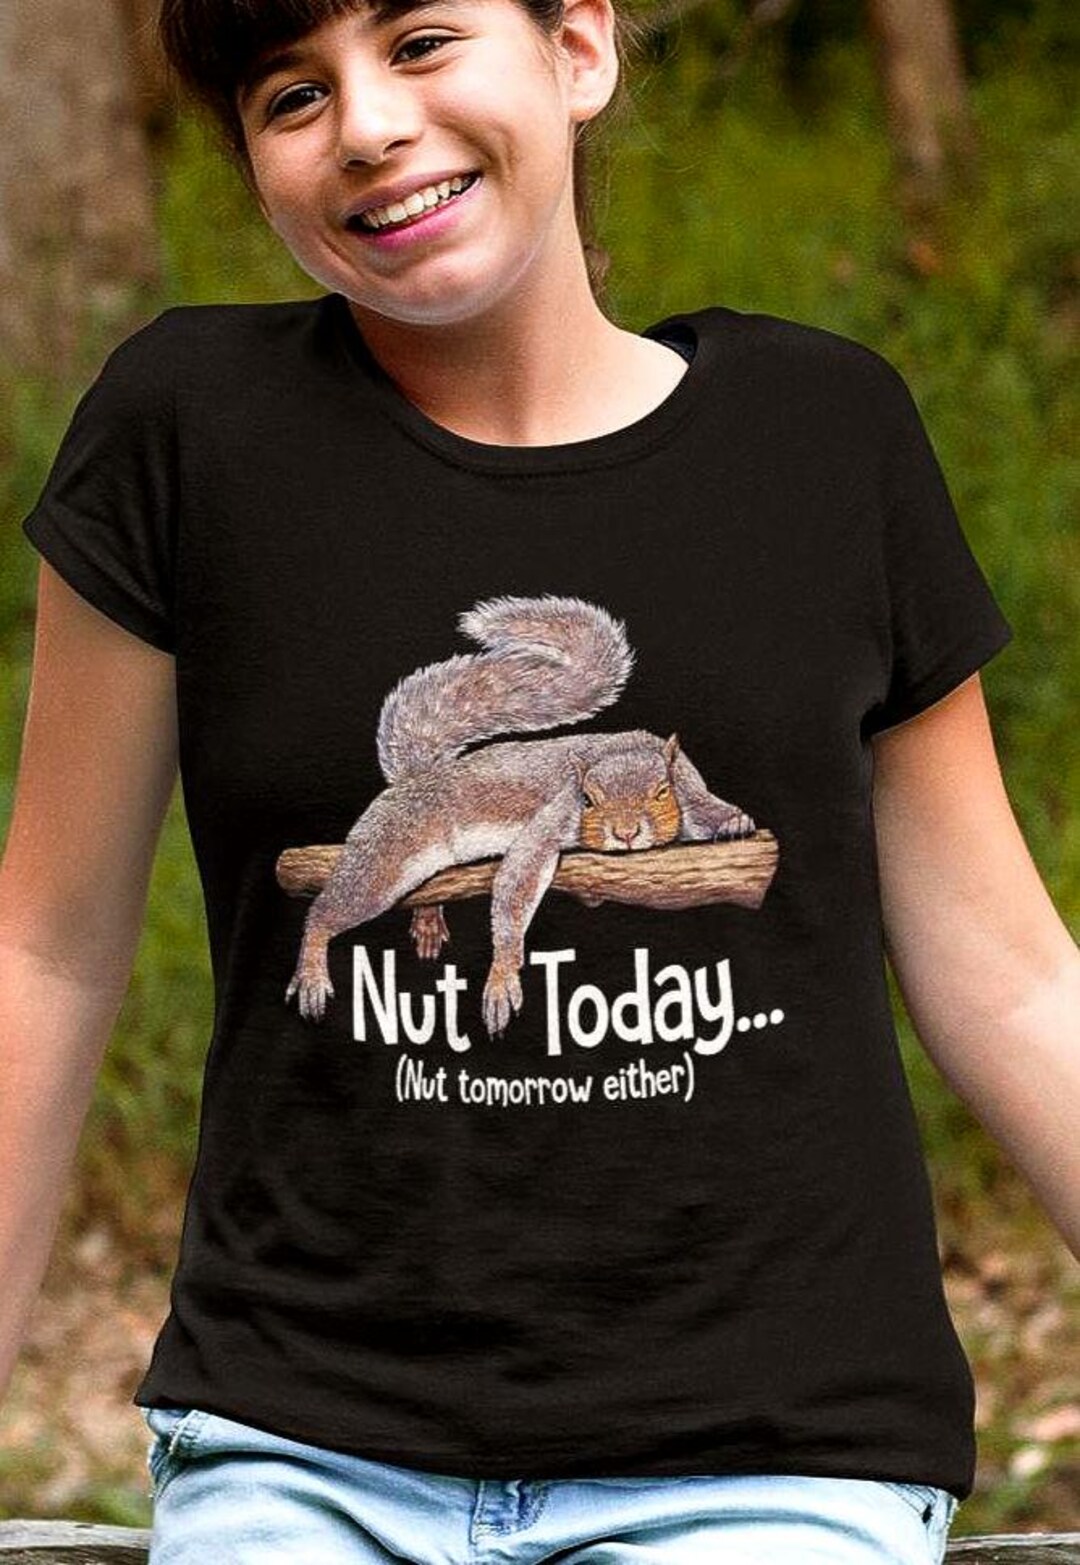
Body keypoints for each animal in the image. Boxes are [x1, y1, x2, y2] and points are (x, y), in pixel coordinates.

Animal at [285, 595, 756, 1036]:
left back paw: (428, 919)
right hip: (387, 852)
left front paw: (734, 822)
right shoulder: (555, 815)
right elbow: (519, 880)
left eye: (662, 792)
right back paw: (311, 967)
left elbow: (710, 808)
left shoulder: (690, 790)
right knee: (326, 910)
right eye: (588, 800)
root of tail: (418, 778)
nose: (625, 833)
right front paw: (502, 976)